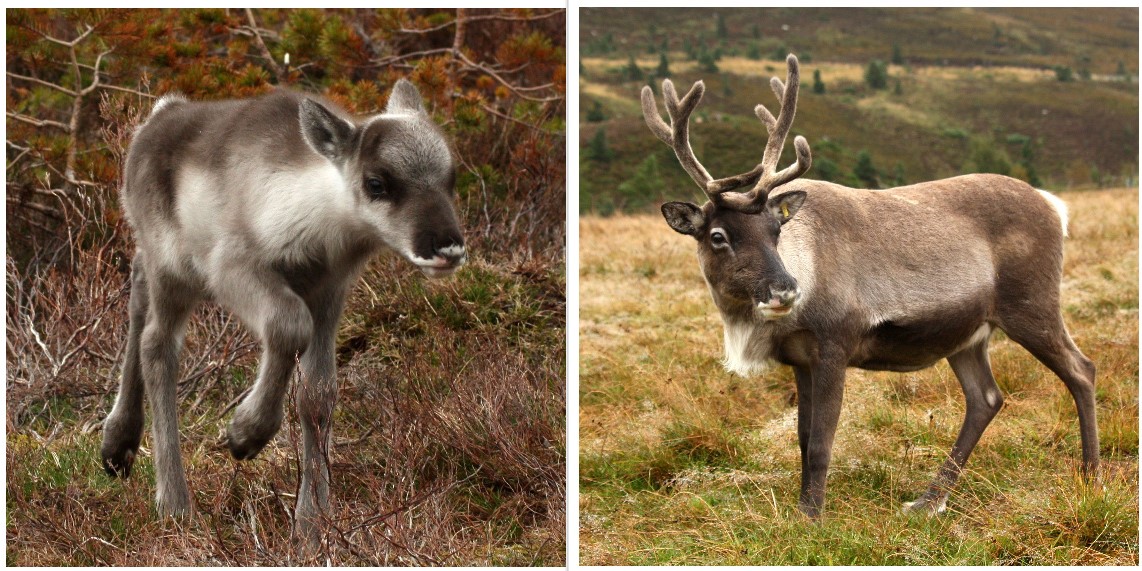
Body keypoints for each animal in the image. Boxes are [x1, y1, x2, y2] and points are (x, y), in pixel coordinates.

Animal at [99, 79, 466, 541]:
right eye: (376, 183)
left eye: (451, 177)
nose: (447, 247)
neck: (320, 224)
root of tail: (159, 115)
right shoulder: (231, 267)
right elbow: (288, 326)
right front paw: (246, 431)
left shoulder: (329, 293)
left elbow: (319, 393)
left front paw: (312, 524)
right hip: (174, 266)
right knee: (157, 346)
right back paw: (174, 504)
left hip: (159, 262)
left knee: (137, 283)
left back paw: (118, 445)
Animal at [642, 54, 1098, 518]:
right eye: (718, 236)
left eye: (775, 230)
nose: (785, 290)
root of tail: (1054, 205)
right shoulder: (801, 360)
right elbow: (803, 439)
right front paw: (801, 507)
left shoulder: (834, 347)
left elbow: (821, 444)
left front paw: (811, 517)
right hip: (968, 333)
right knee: (986, 398)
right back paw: (929, 500)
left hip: (1032, 305)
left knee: (1082, 370)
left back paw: (1091, 478)